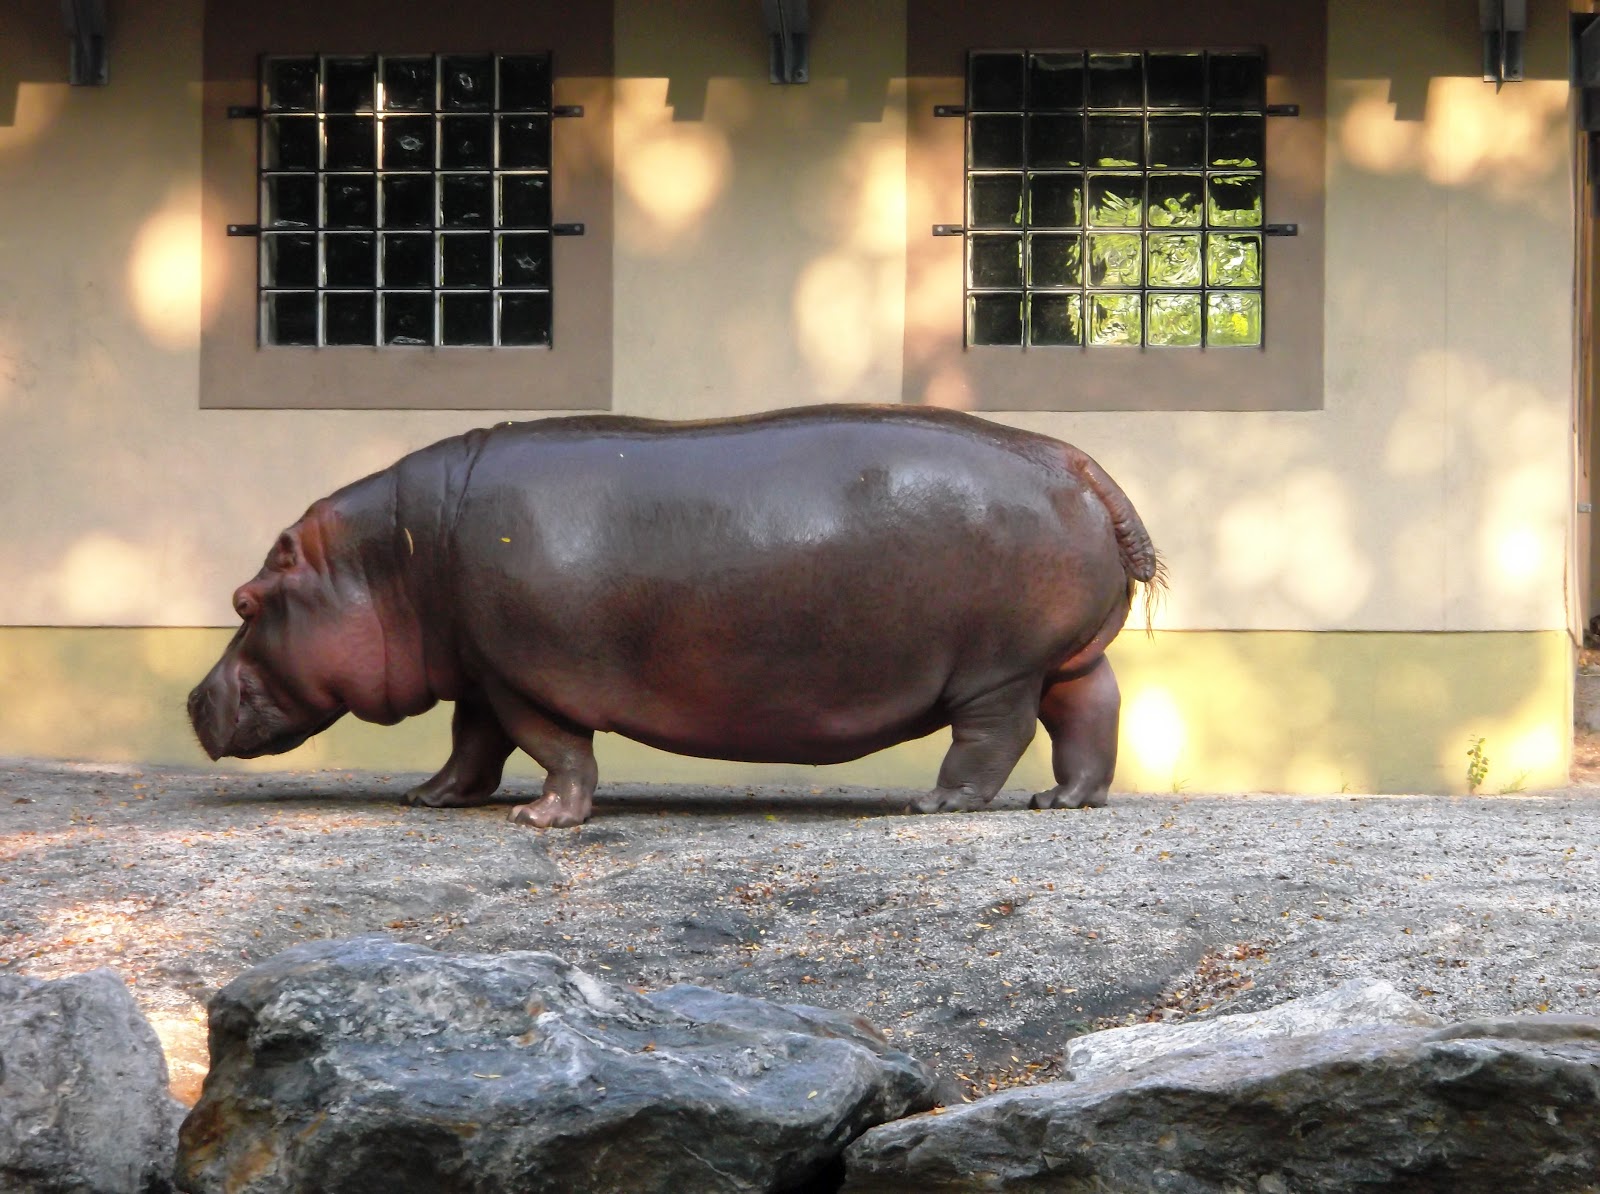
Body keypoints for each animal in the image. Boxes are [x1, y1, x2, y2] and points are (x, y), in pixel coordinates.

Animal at [188, 405, 1162, 827]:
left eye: (244, 601)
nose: (195, 698)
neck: (394, 556)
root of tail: (1083, 464)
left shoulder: (526, 674)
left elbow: (552, 749)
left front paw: (540, 820)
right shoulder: (482, 667)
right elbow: (470, 744)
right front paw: (426, 799)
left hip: (998, 665)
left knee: (995, 736)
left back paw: (935, 804)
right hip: (1066, 656)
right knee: (1092, 713)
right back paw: (1063, 801)